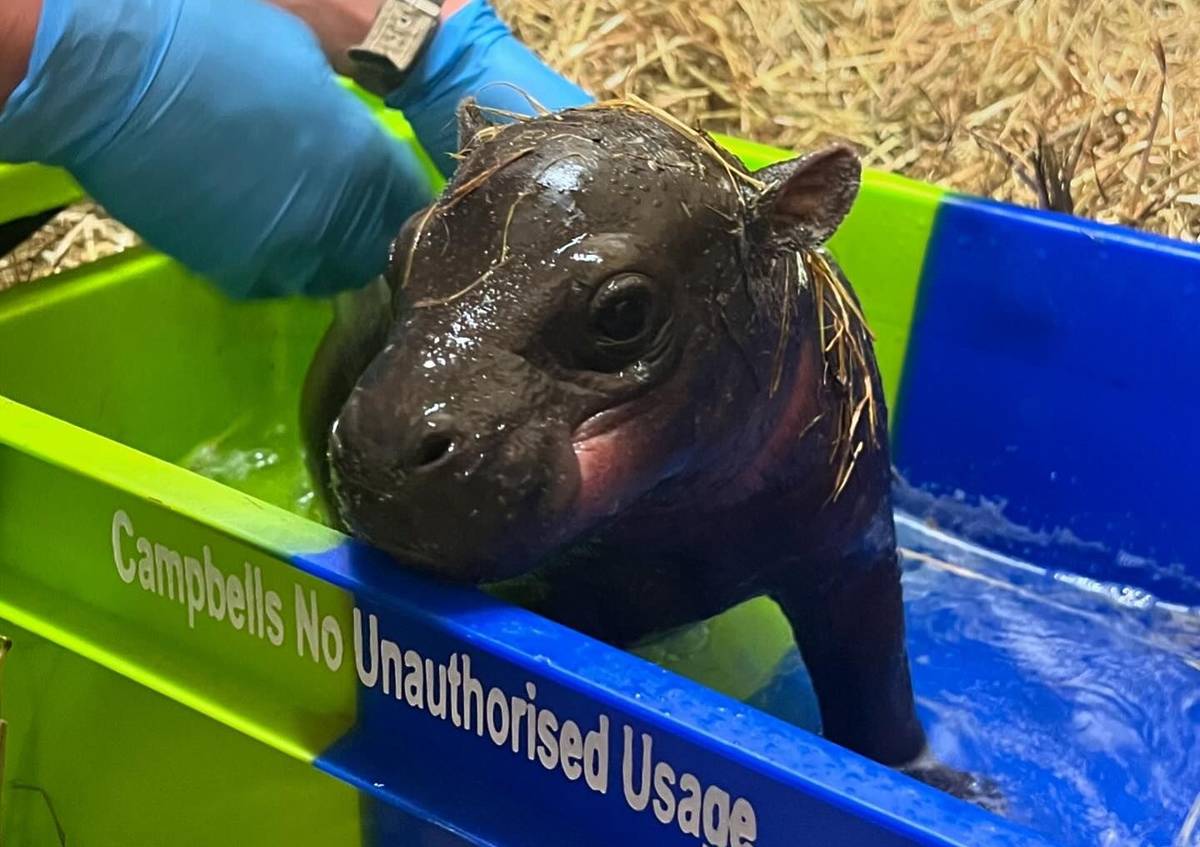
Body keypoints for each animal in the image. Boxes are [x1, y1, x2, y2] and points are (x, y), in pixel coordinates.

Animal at [301, 100, 999, 809]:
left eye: (624, 311)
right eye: (401, 250)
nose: (383, 440)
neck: (695, 512)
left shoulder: (855, 550)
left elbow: (876, 685)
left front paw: (957, 791)